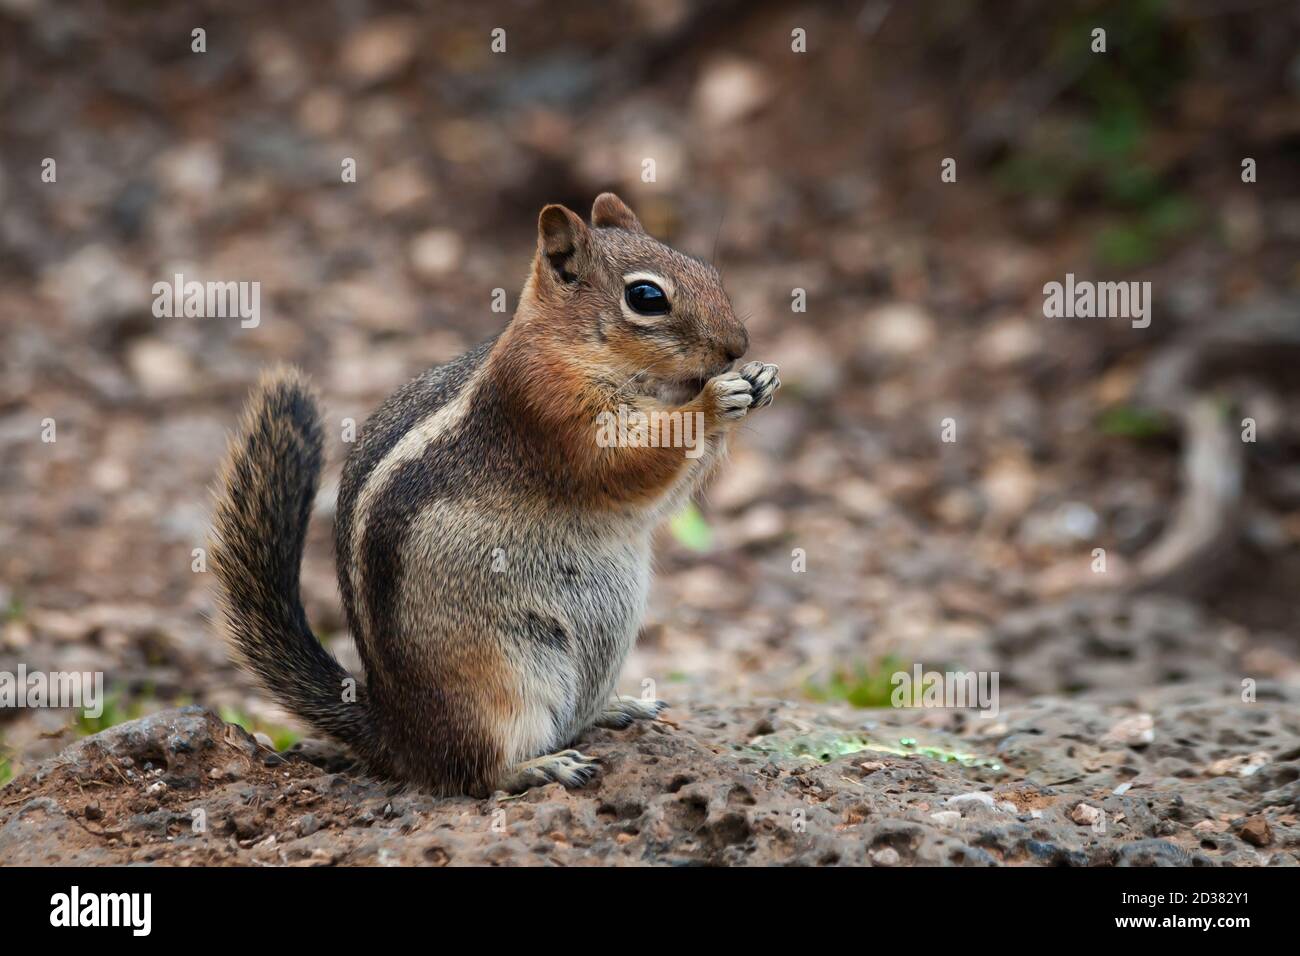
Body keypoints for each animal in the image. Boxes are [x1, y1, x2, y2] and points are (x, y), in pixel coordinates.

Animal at [208, 193, 780, 796]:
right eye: (646, 297)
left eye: (710, 271)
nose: (738, 346)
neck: (567, 344)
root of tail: (396, 733)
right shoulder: (547, 405)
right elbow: (626, 462)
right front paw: (715, 400)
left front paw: (760, 379)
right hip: (500, 684)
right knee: (476, 773)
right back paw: (540, 766)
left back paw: (616, 709)